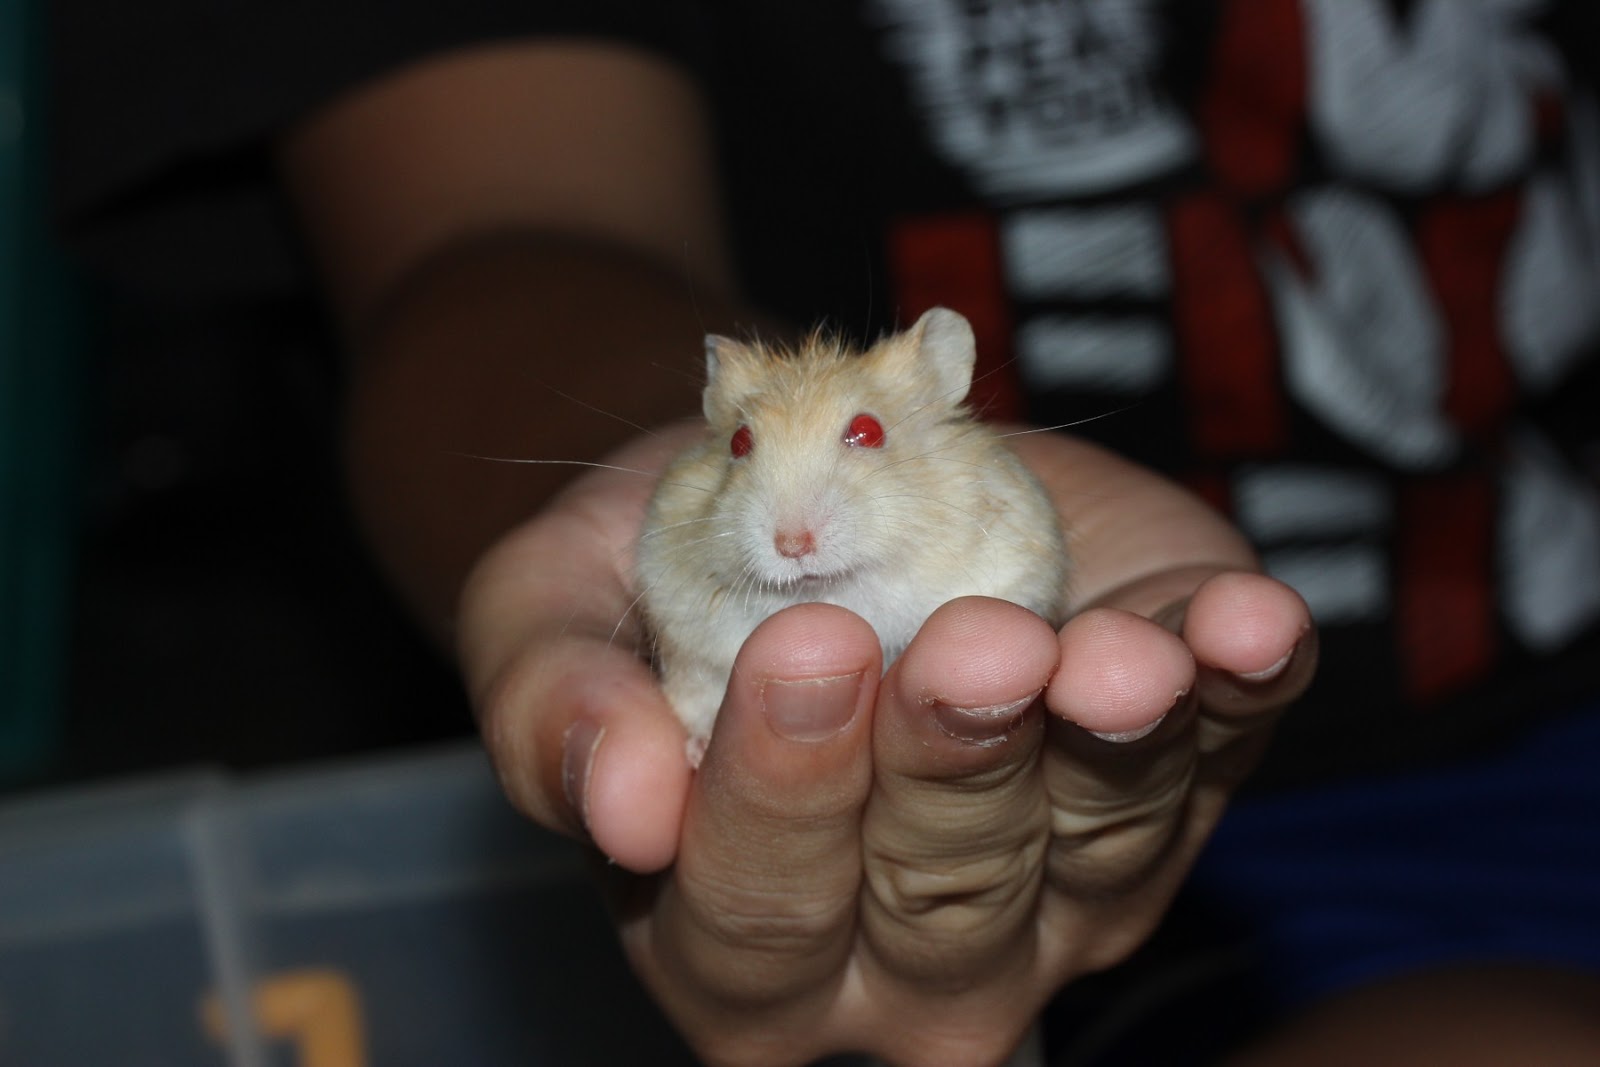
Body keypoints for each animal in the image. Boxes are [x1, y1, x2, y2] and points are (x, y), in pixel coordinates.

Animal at [635, 307, 1069, 764]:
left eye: (868, 431)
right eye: (738, 442)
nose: (793, 546)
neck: (838, 592)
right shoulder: (687, 642)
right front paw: (699, 750)